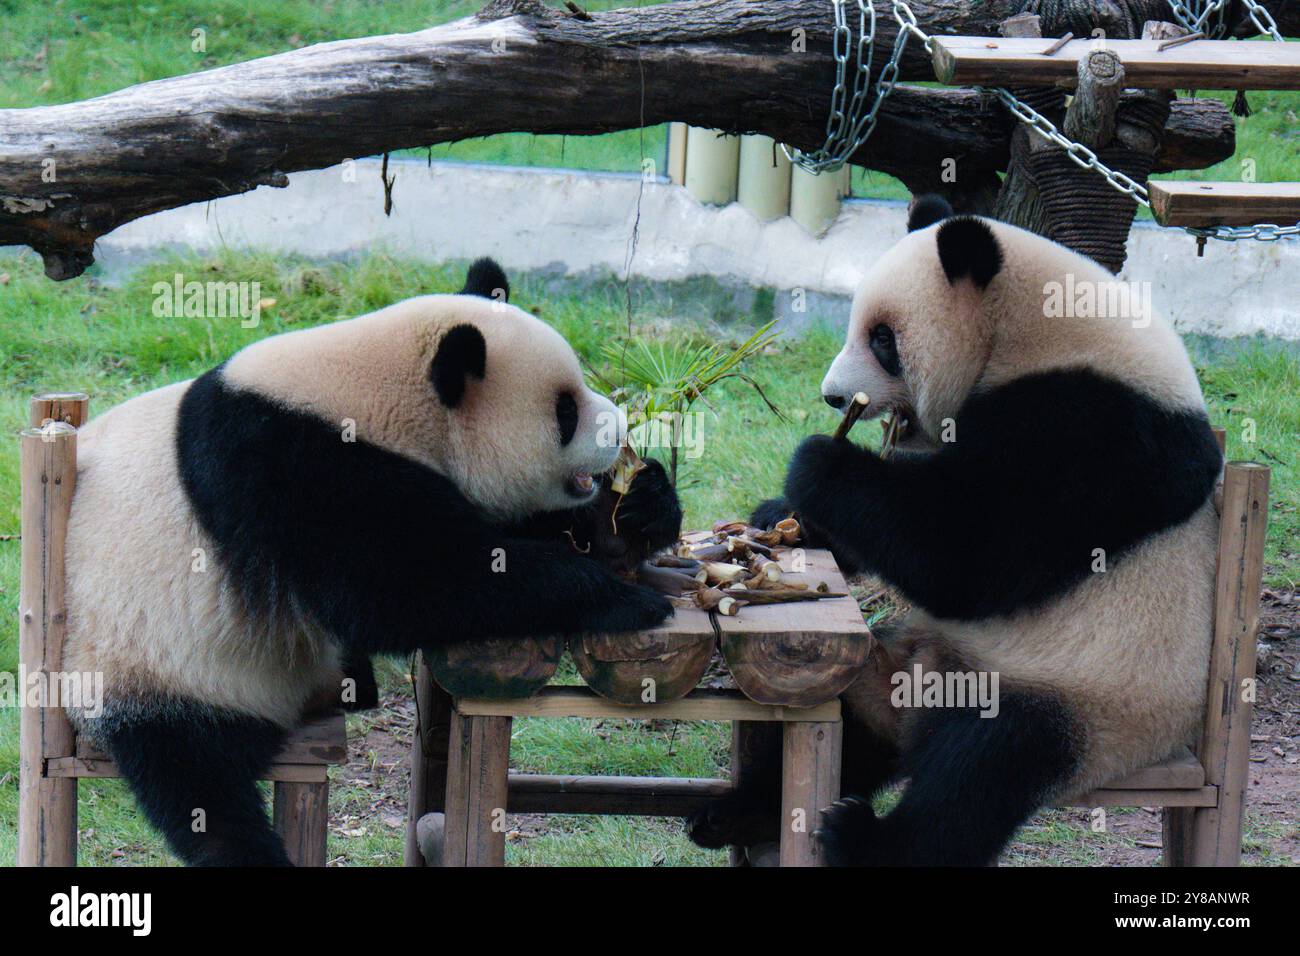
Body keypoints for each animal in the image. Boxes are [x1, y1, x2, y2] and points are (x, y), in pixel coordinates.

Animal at [62, 259, 681, 866]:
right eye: (565, 410)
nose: (618, 428)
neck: (374, 395)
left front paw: (637, 512)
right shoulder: (299, 469)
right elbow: (402, 588)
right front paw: (623, 598)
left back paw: (355, 682)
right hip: (157, 664)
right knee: (196, 779)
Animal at [687, 197, 1223, 866]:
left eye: (883, 339)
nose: (834, 396)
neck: (1039, 329)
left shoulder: (1104, 429)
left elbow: (972, 553)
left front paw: (819, 465)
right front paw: (780, 517)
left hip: (1096, 703)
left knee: (985, 767)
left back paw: (866, 840)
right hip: (894, 666)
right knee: (855, 723)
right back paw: (737, 810)